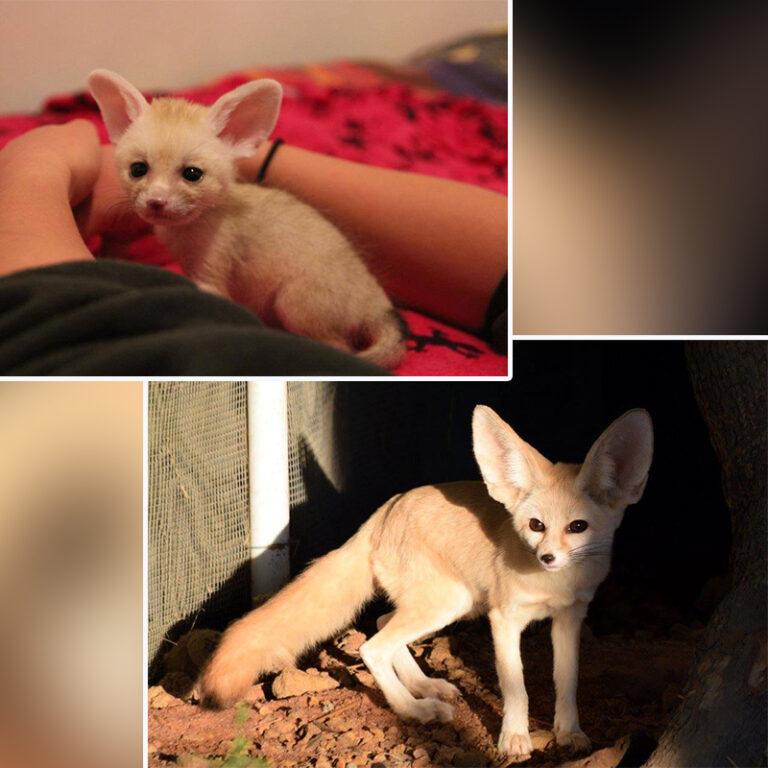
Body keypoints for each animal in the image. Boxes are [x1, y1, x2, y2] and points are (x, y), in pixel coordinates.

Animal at [198, 406, 653, 759]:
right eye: (536, 526)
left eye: (578, 527)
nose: (548, 558)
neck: (553, 586)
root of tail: (383, 511)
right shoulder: (504, 619)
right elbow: (516, 686)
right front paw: (514, 738)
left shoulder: (570, 617)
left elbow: (567, 681)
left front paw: (569, 733)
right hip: (449, 603)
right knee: (372, 647)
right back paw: (413, 710)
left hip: (448, 606)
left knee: (383, 627)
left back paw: (425, 687)